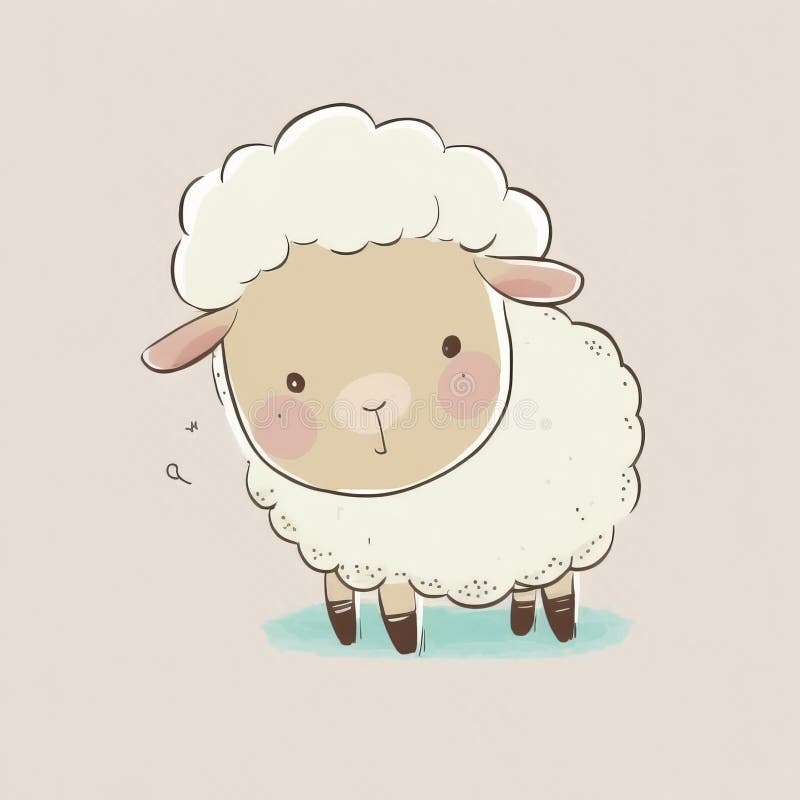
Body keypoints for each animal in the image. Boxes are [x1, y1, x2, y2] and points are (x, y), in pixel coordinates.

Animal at [142, 104, 643, 655]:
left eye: (452, 345)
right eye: (294, 383)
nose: (374, 403)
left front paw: (404, 645)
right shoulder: (363, 550)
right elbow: (369, 595)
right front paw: (374, 637)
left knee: (551, 578)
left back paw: (550, 626)